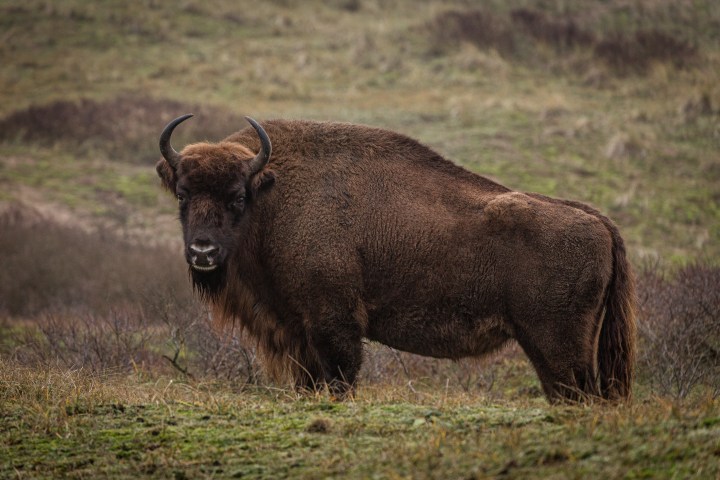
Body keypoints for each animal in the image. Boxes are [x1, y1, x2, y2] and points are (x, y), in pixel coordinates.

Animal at [157, 114, 636, 402]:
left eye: (238, 197)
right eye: (182, 194)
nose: (202, 251)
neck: (273, 193)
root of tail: (597, 221)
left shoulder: (333, 323)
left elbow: (341, 377)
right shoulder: (299, 332)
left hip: (557, 346)